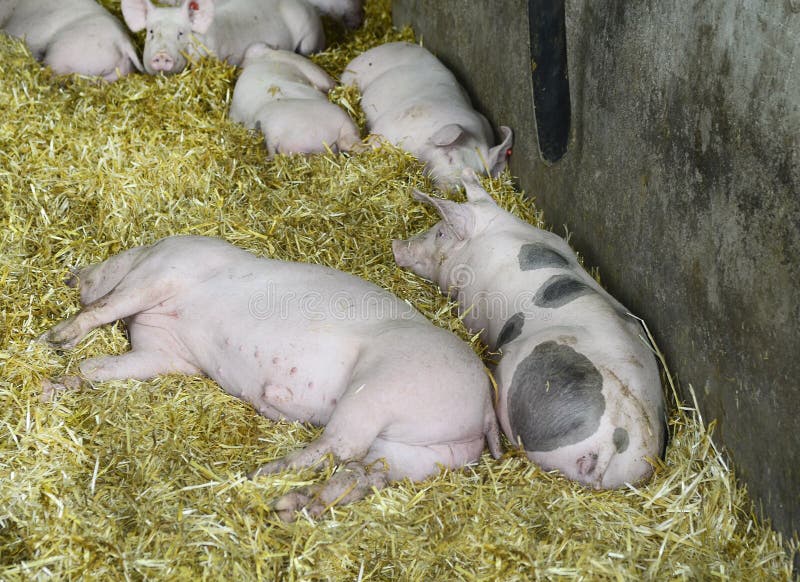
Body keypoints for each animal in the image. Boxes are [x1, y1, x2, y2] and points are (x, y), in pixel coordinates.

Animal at [40, 235, 501, 520]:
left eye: (108, 258)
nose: (71, 274)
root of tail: (485, 408)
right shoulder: (166, 354)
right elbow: (100, 368)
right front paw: (54, 384)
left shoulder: (166, 271)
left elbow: (104, 307)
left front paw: (54, 338)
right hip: (426, 454)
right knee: (363, 472)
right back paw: (291, 505)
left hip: (382, 385)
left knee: (341, 445)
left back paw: (261, 474)